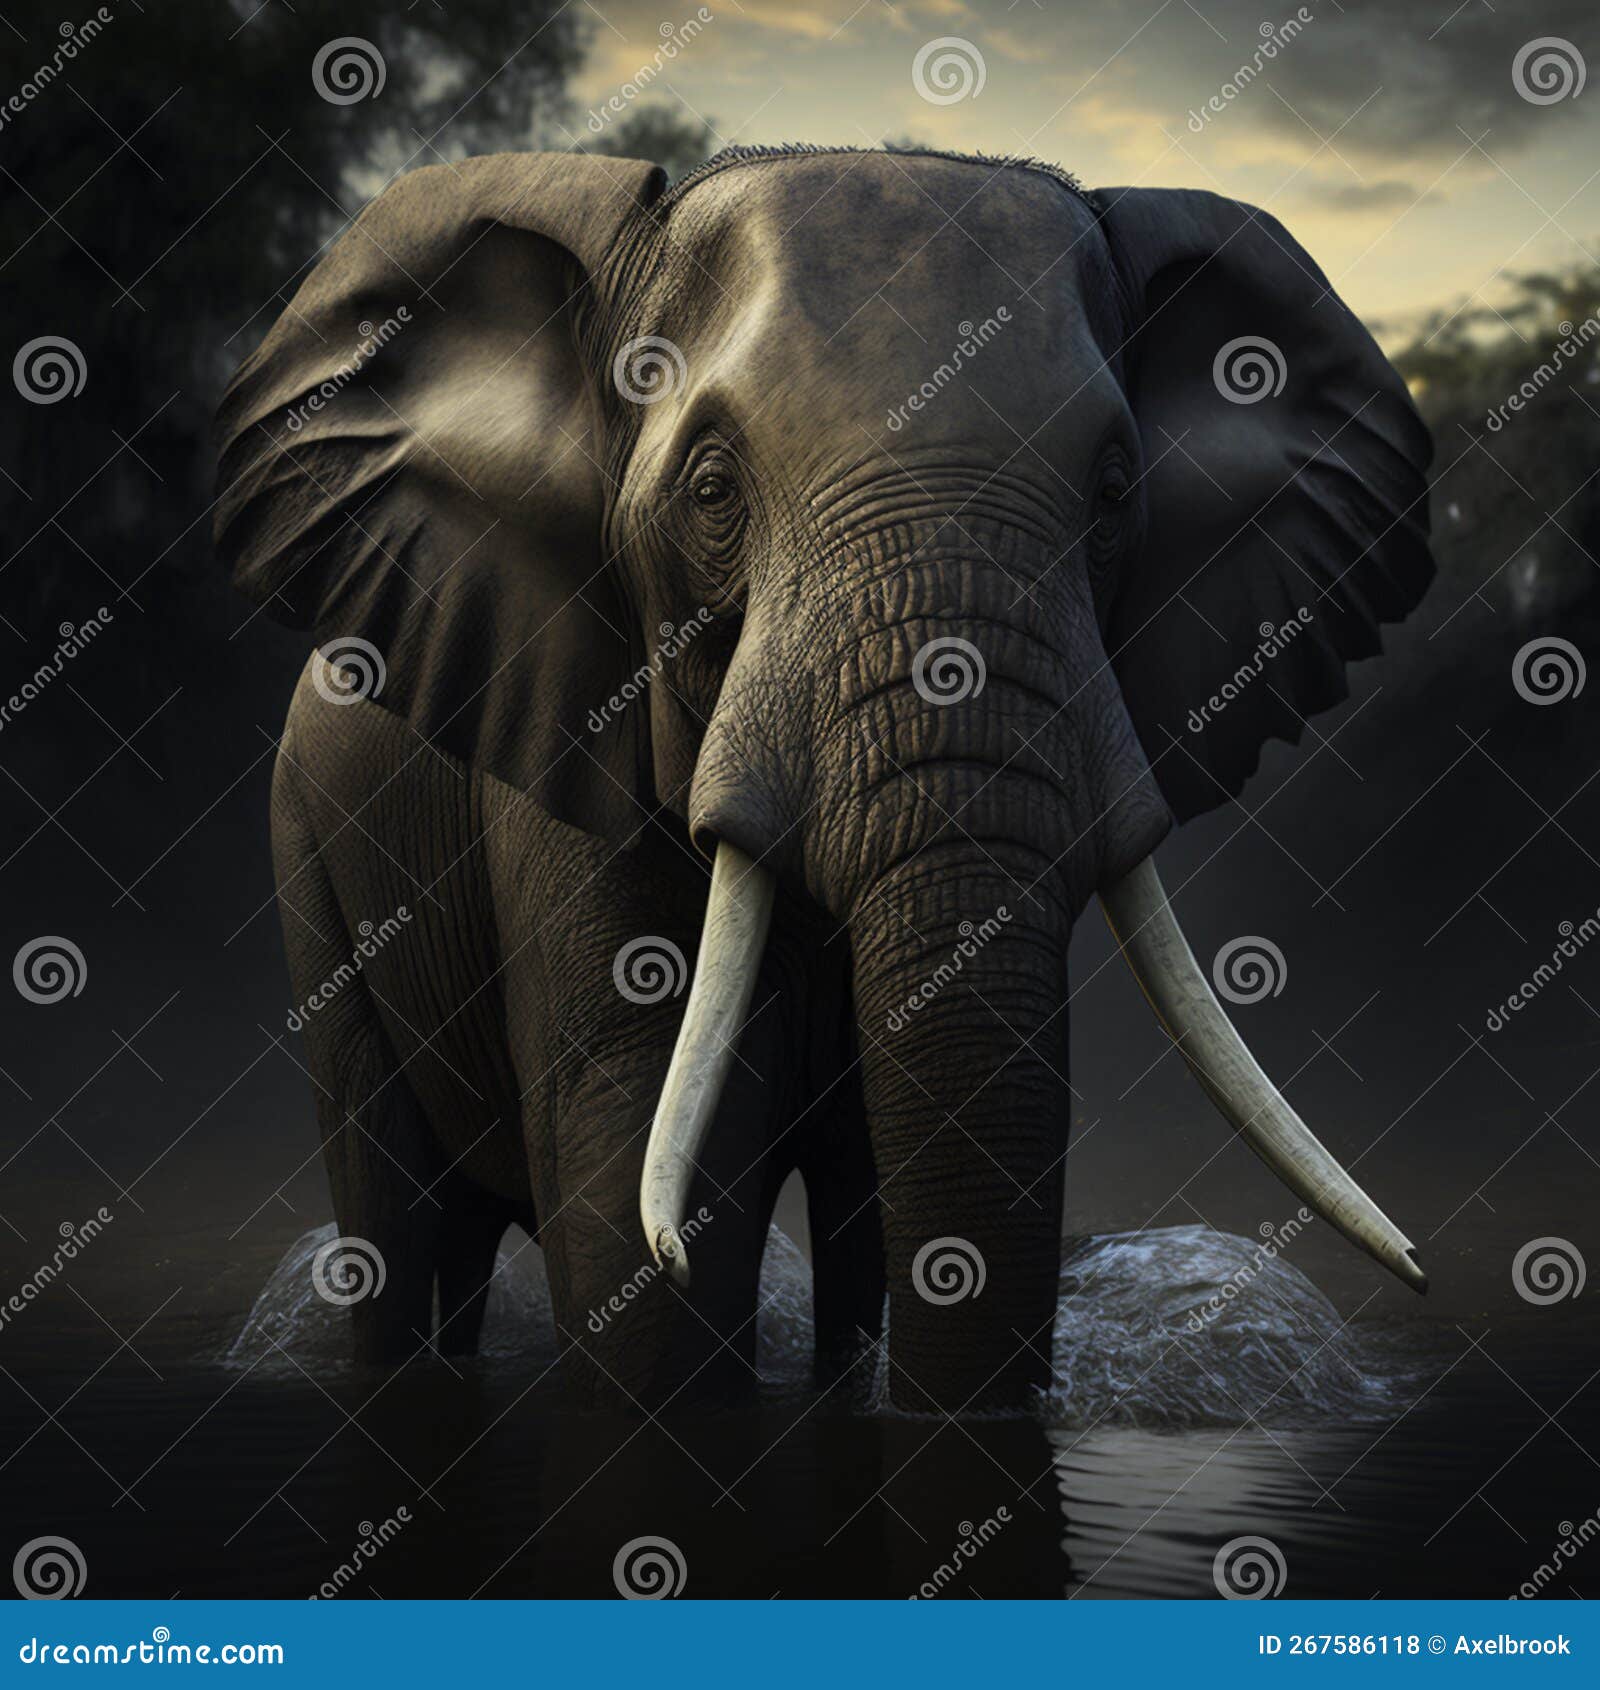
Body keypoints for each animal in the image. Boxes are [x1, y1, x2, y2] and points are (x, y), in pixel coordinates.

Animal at [215, 144, 1434, 1418]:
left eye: (1111, 495)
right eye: (711, 491)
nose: (1419, 1268)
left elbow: (873, 1180)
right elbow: (628, 1130)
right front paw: (668, 1283)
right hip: (307, 852)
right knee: (390, 1214)